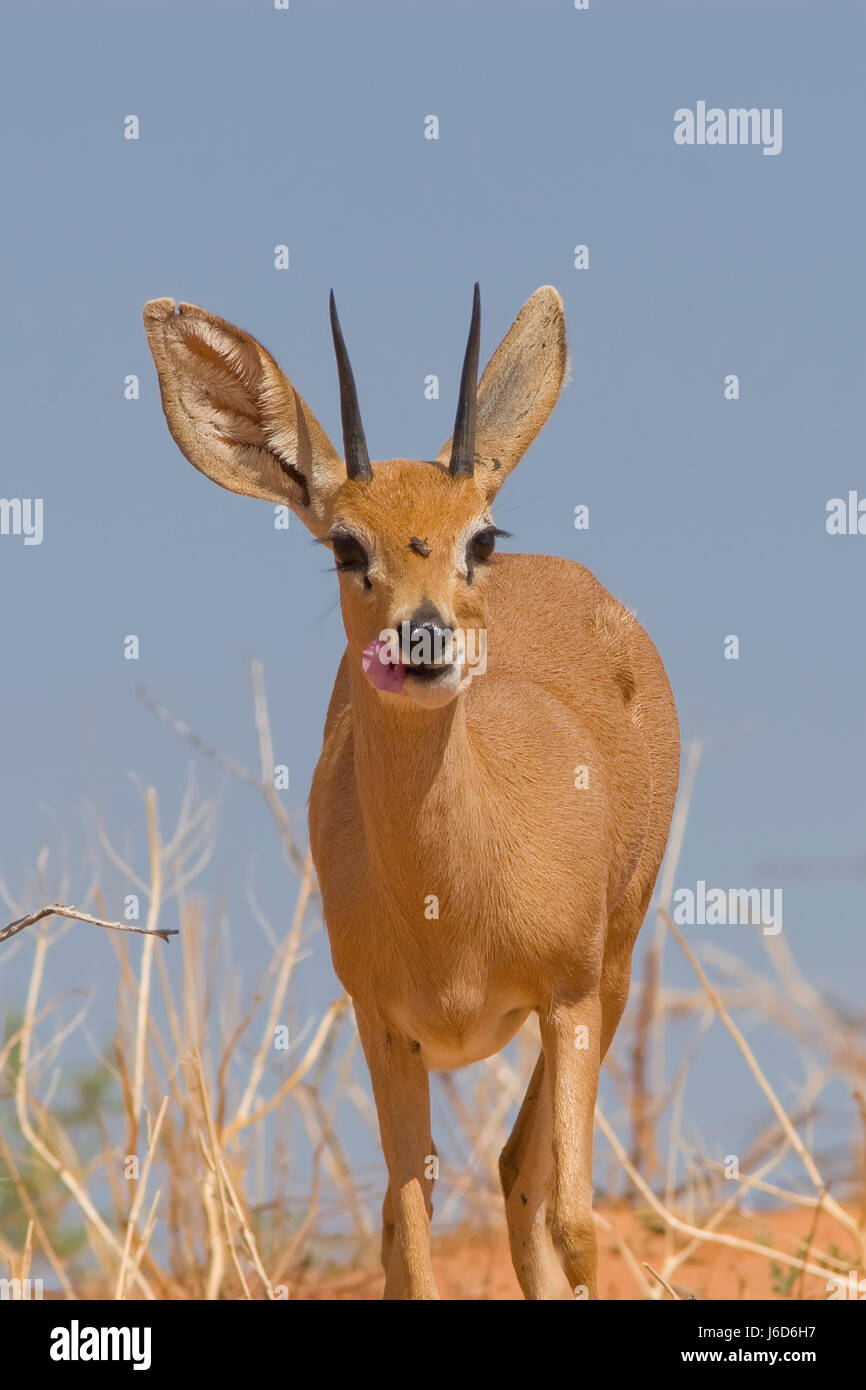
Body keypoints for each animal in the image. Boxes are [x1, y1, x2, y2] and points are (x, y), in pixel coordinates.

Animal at [144, 285, 680, 1299]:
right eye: (347, 545)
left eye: (481, 536)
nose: (423, 636)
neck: (452, 908)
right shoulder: (383, 1025)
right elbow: (410, 1233)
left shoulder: (570, 997)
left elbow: (579, 1223)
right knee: (492, 1183)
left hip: (616, 975)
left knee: (530, 1184)